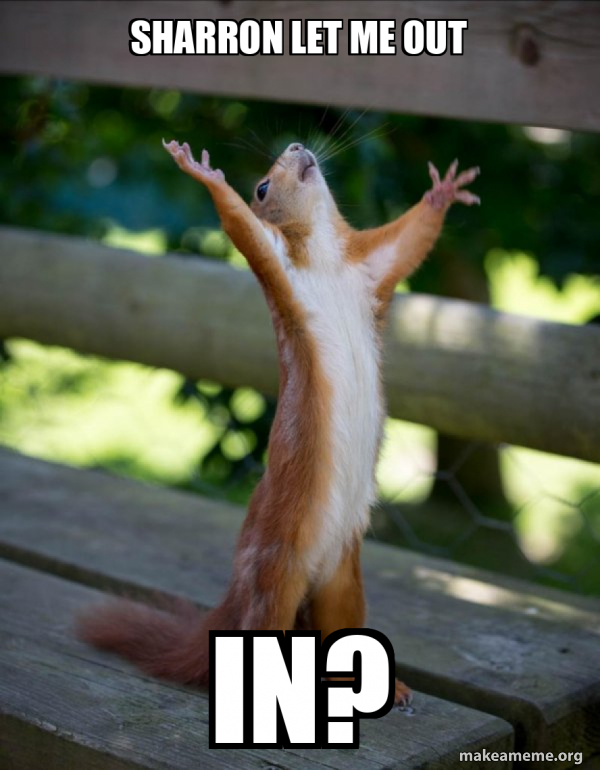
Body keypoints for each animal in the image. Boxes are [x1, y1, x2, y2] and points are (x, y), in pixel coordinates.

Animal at [77, 139, 479, 707]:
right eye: (262, 187)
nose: (296, 146)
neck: (328, 260)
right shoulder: (277, 265)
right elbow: (240, 226)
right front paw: (203, 173)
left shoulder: (372, 267)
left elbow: (410, 239)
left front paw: (443, 191)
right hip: (275, 575)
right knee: (265, 628)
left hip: (344, 585)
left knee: (340, 630)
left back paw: (387, 686)